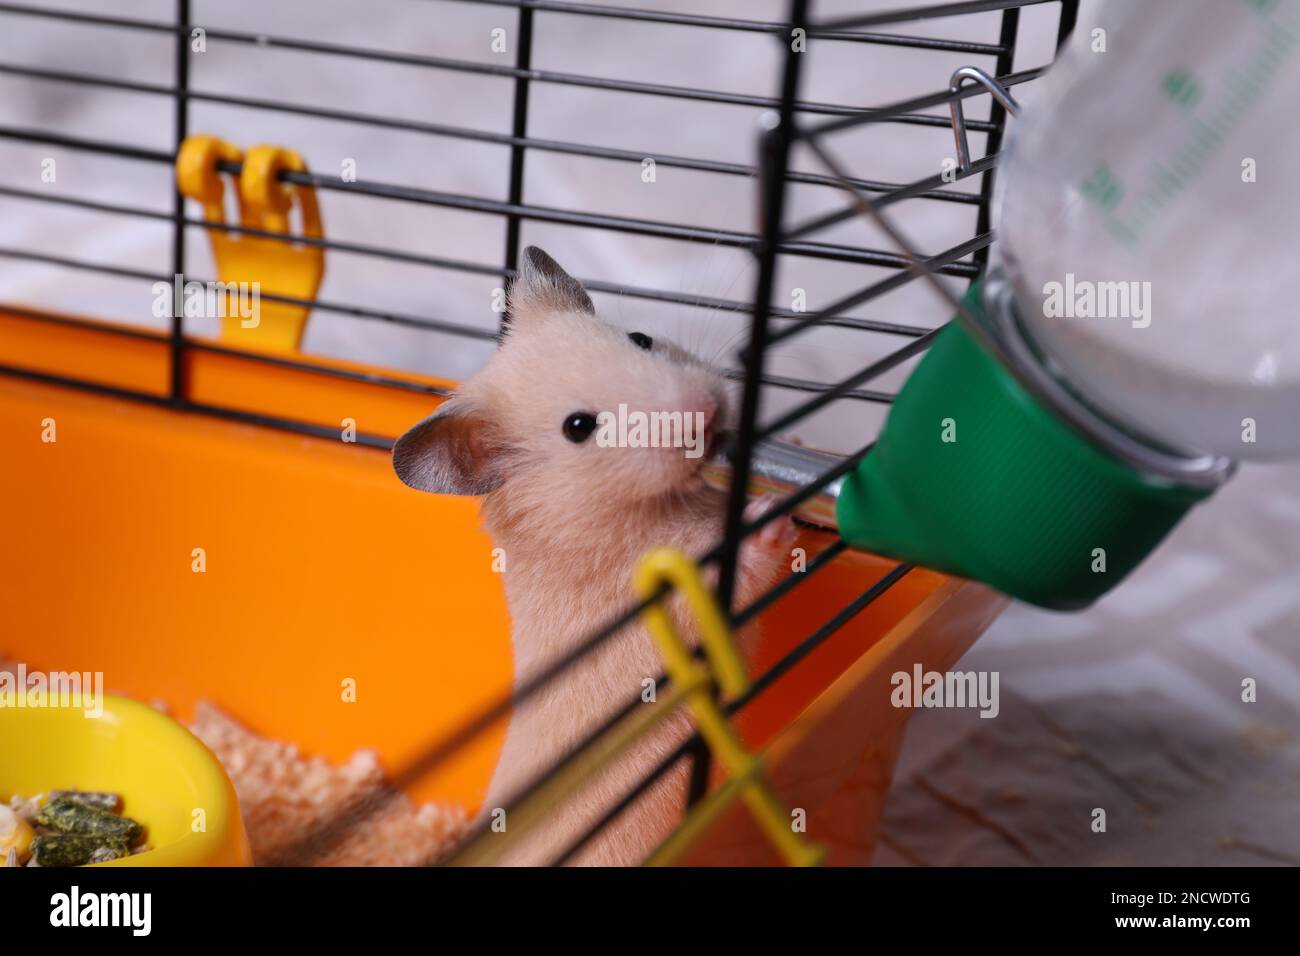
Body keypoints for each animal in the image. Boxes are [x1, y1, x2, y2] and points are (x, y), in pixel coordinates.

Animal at [393, 246, 794, 866]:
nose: (706, 412)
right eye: (579, 427)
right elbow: (745, 565)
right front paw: (774, 514)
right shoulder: (685, 591)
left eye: (641, 338)